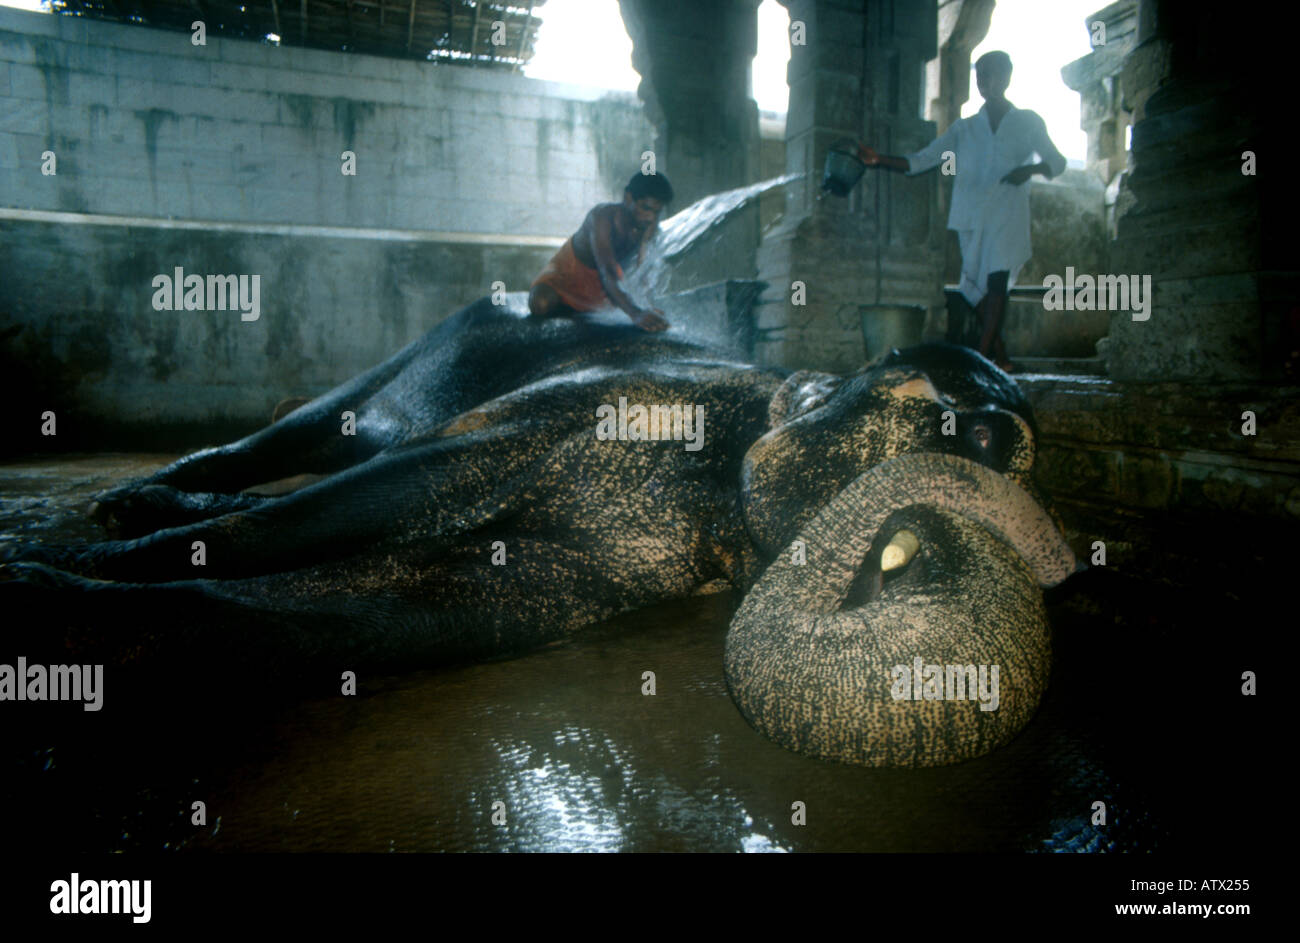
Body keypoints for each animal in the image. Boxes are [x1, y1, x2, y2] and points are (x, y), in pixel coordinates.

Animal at [0, 293, 1076, 767]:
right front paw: (56, 567)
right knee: (272, 454)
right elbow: (301, 527)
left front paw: (71, 615)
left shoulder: (570, 575)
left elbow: (334, 610)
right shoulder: (511, 439)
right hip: (379, 383)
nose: (1053, 560)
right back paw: (137, 498)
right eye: (976, 432)